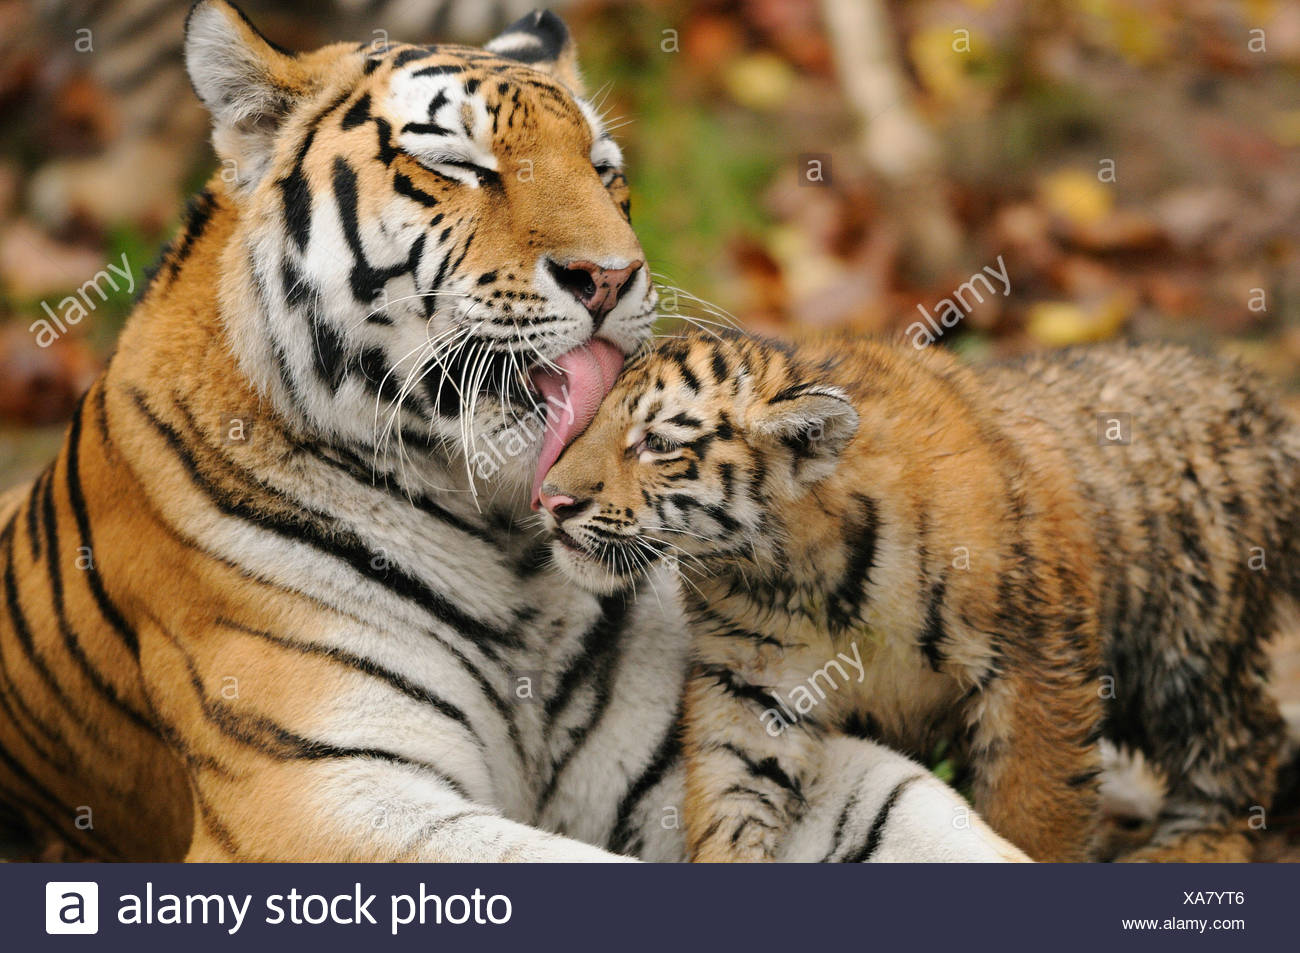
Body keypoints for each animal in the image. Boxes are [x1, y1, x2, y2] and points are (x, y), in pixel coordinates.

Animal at [0, 1, 1026, 863]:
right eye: (461, 166)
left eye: (605, 171)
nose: (610, 276)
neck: (505, 548)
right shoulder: (314, 795)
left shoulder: (684, 743)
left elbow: (929, 814)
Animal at [537, 327, 1300, 862]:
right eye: (581, 419)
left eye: (657, 442)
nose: (552, 499)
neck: (794, 570)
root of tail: (1255, 394)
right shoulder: (751, 687)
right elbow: (734, 796)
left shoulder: (1035, 670)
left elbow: (1035, 808)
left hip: (1185, 643)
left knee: (1245, 740)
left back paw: (1187, 847)